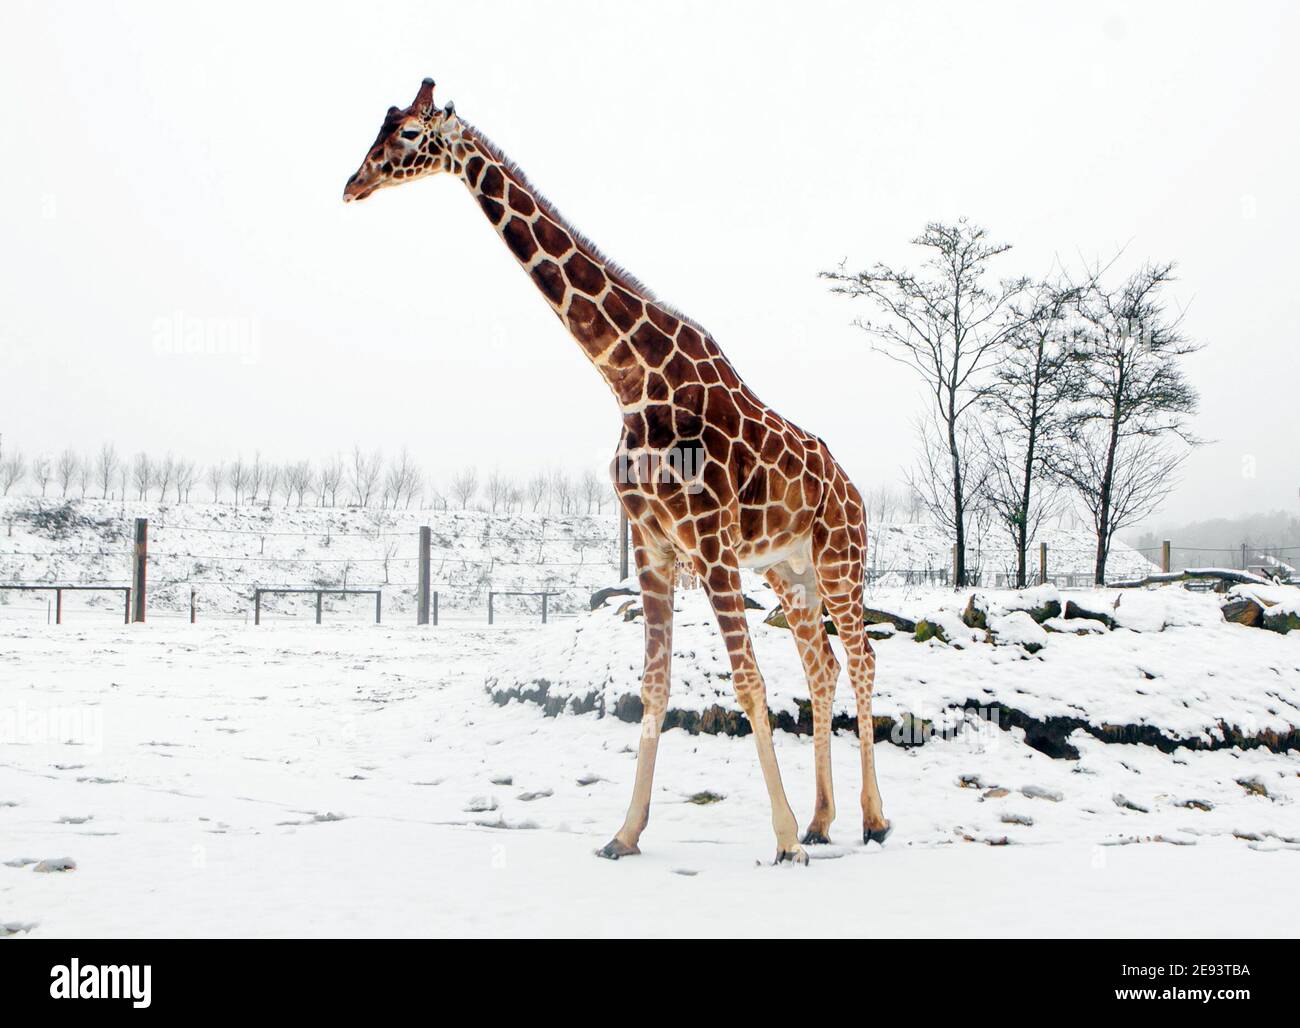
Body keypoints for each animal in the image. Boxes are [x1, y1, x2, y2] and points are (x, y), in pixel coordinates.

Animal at [344, 78, 890, 864]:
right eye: (382, 127)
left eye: (412, 133)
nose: (353, 183)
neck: (630, 380)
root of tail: (855, 493)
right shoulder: (657, 547)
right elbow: (655, 687)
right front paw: (626, 833)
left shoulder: (709, 544)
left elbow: (747, 681)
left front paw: (783, 841)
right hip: (790, 572)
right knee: (823, 668)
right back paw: (825, 818)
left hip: (841, 561)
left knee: (863, 659)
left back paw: (871, 820)